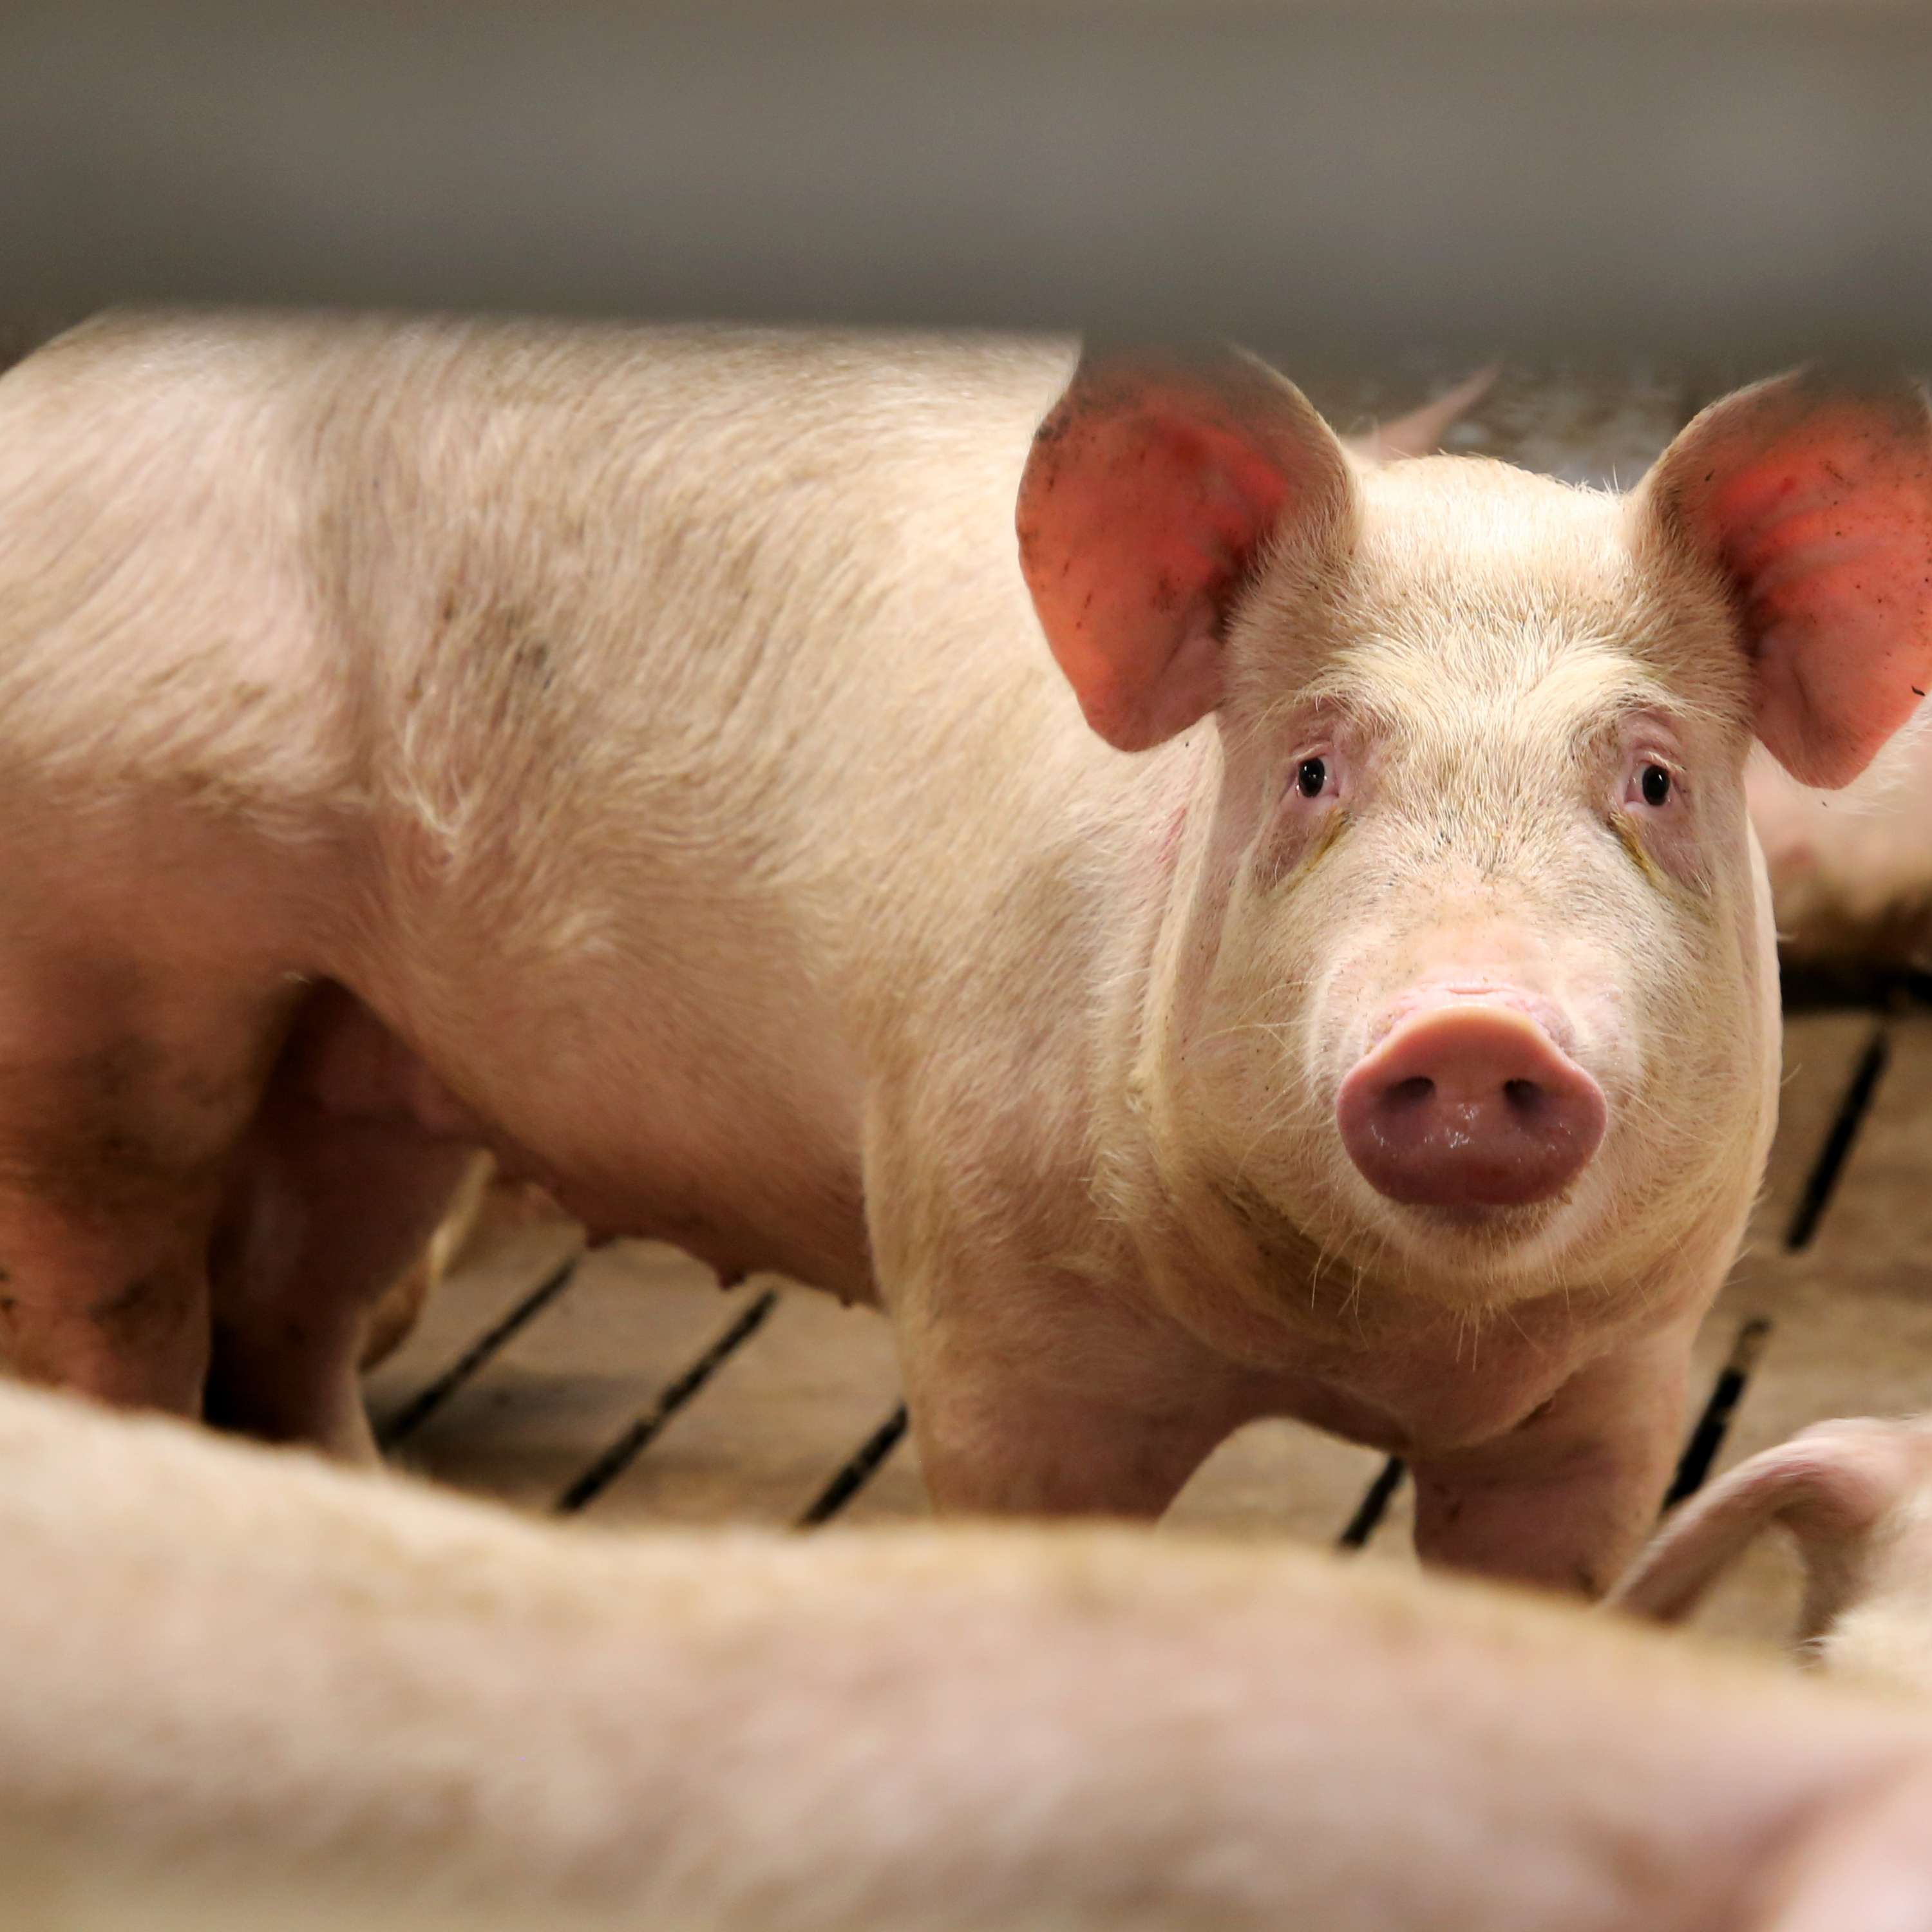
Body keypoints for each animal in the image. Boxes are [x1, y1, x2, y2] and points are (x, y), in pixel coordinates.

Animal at [1, 313, 1929, 1595]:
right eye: (1312, 766)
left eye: (1653, 777)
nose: (1469, 1024)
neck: (1355, 1343)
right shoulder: (993, 1295)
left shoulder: (1616, 1380)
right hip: (111, 951)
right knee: (129, 1292)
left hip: (367, 1043)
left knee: (294, 1308)